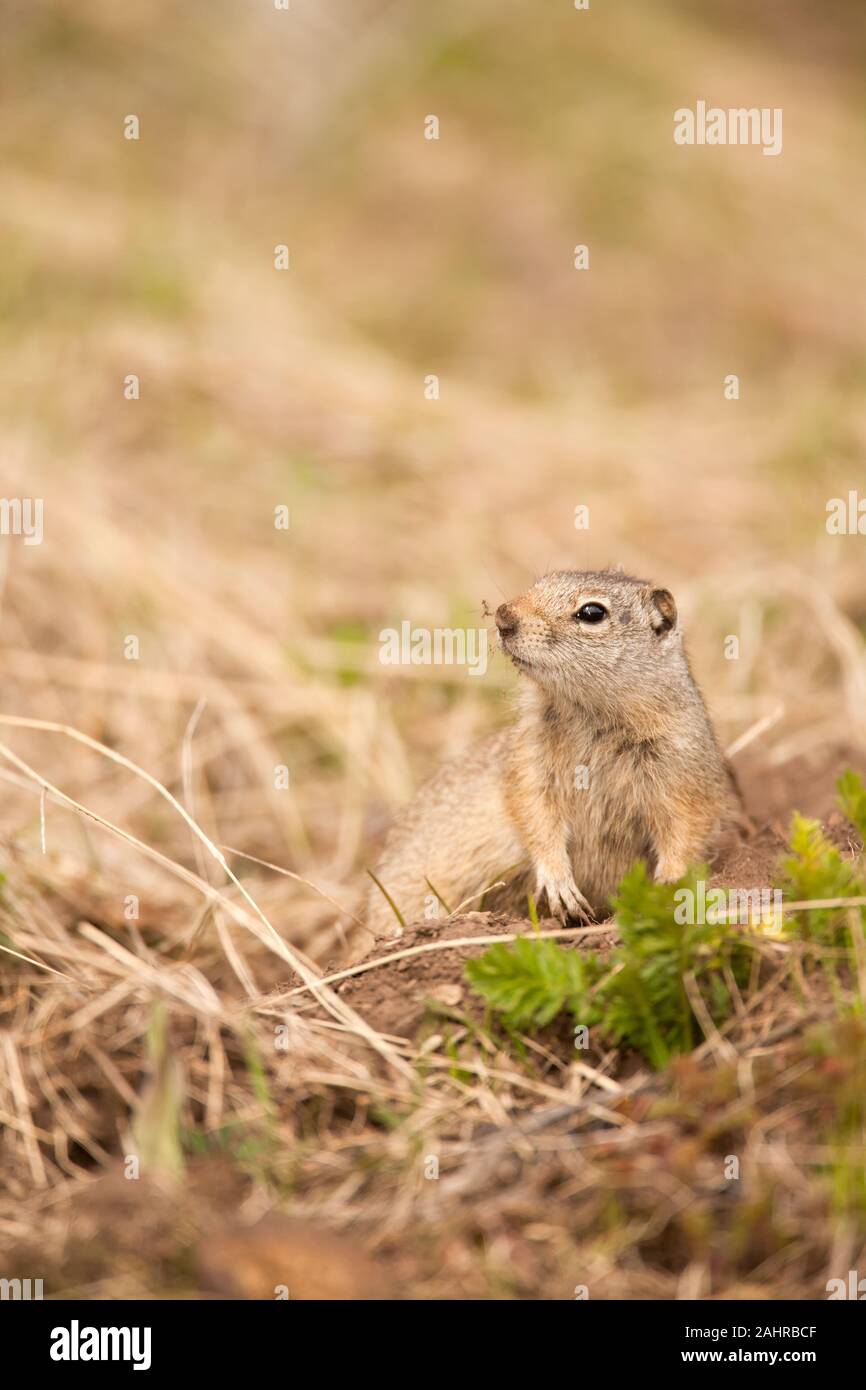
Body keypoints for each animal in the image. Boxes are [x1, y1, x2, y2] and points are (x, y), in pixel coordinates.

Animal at [365, 569, 740, 936]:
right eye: (538, 583)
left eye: (592, 612)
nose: (503, 616)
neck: (592, 713)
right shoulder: (528, 759)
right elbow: (534, 814)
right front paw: (561, 885)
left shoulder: (685, 764)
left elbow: (688, 828)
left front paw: (668, 883)